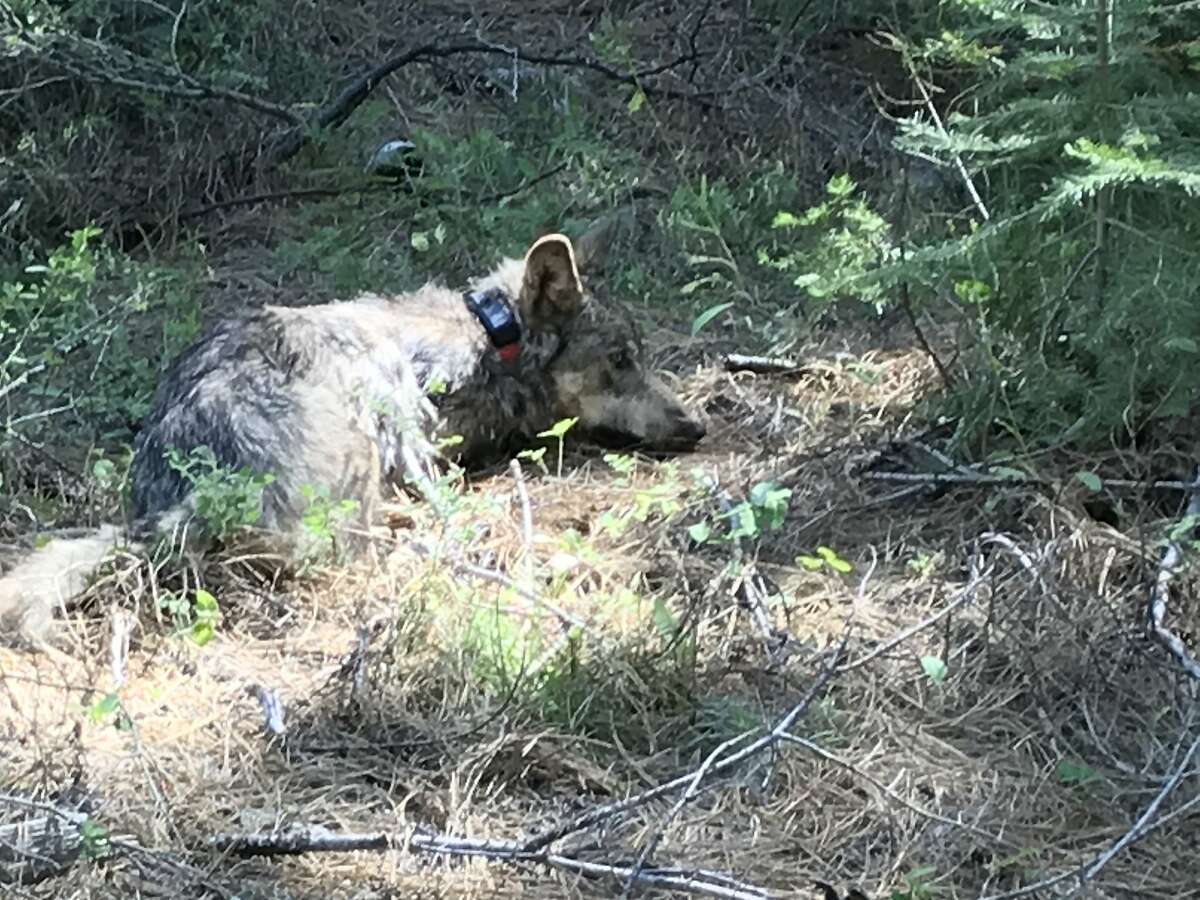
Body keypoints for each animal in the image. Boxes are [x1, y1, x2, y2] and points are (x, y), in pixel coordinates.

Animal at [0, 221, 706, 642]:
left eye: (641, 355)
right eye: (621, 360)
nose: (698, 426)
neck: (487, 337)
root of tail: (188, 490)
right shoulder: (415, 444)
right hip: (357, 447)